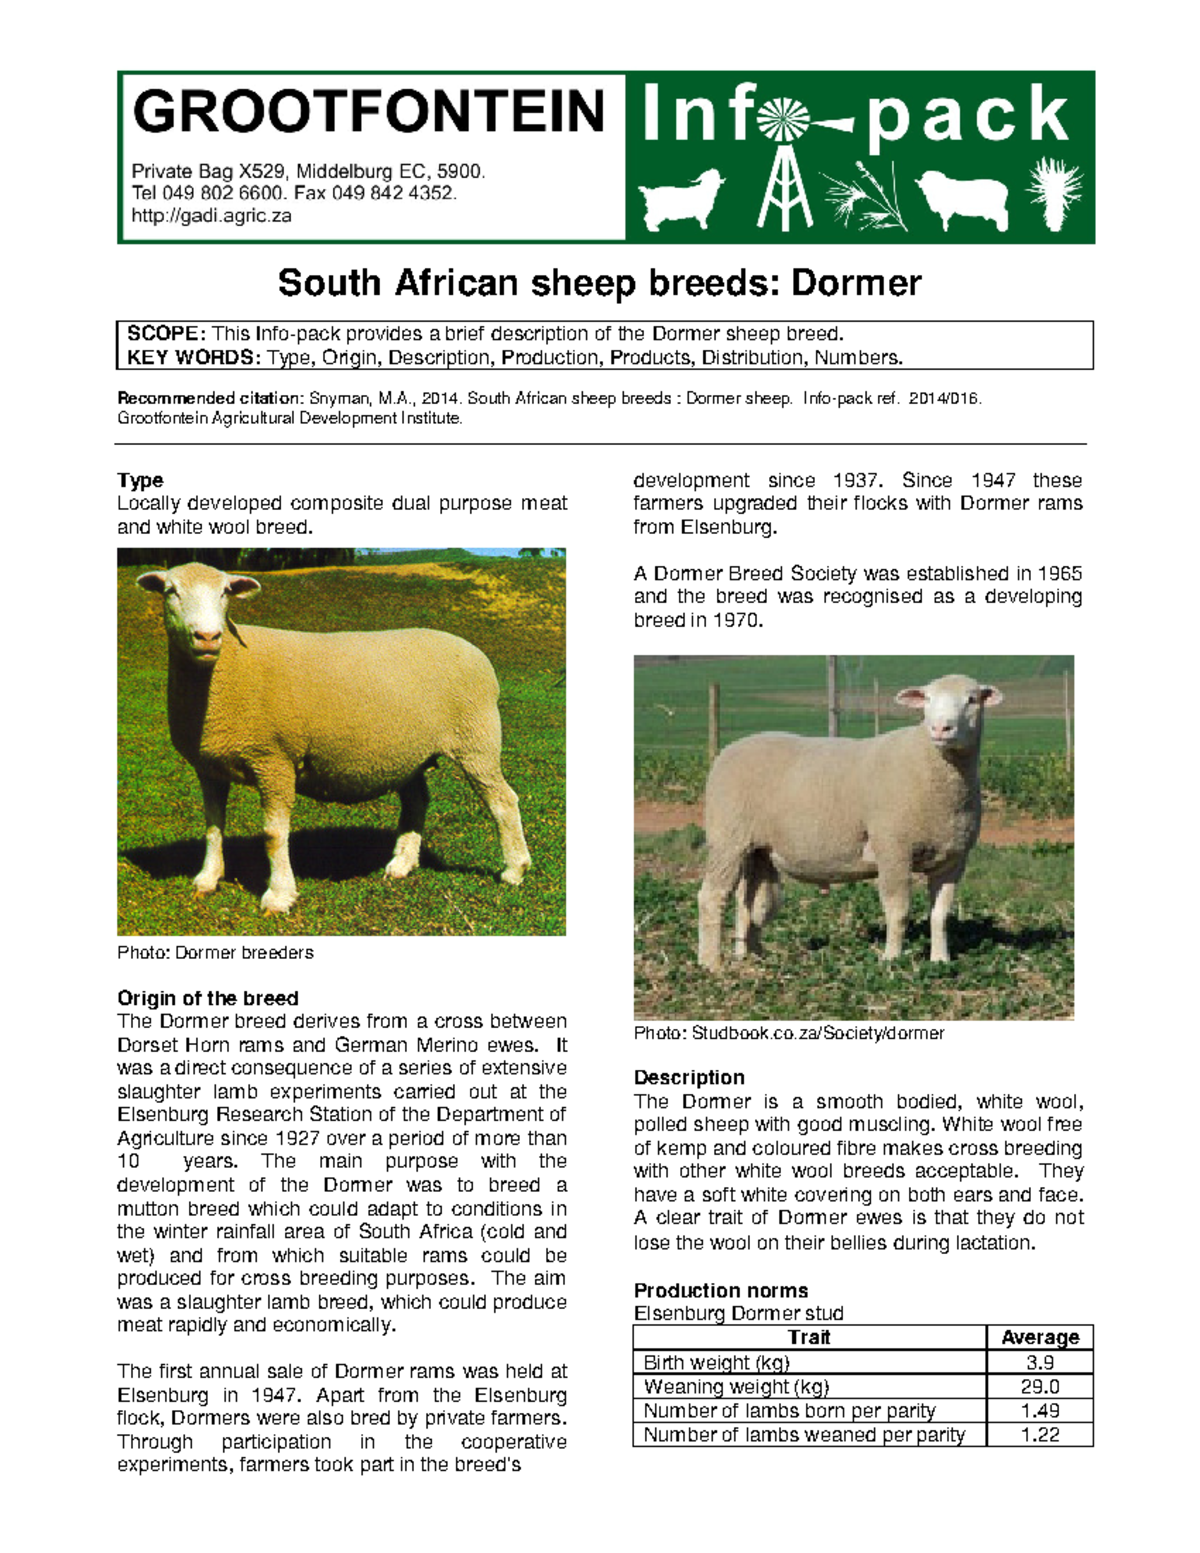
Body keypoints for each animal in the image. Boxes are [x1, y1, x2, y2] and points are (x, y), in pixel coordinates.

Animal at [135, 562, 530, 913]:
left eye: (225, 593)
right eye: (170, 591)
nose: (207, 637)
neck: (225, 670)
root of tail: (475, 651)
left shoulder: (274, 759)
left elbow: (274, 834)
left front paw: (279, 896)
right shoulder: (210, 765)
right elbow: (213, 825)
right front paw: (207, 878)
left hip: (477, 738)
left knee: (503, 801)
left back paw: (514, 869)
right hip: (408, 752)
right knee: (417, 801)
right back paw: (402, 863)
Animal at [698, 675, 1003, 969]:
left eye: (972, 699)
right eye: (927, 699)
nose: (941, 729)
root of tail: (729, 749)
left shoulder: (953, 859)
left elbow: (940, 915)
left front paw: (940, 961)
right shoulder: (893, 849)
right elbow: (898, 912)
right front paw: (892, 960)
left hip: (756, 848)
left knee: (748, 902)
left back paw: (751, 956)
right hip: (728, 838)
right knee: (712, 897)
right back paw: (711, 963)